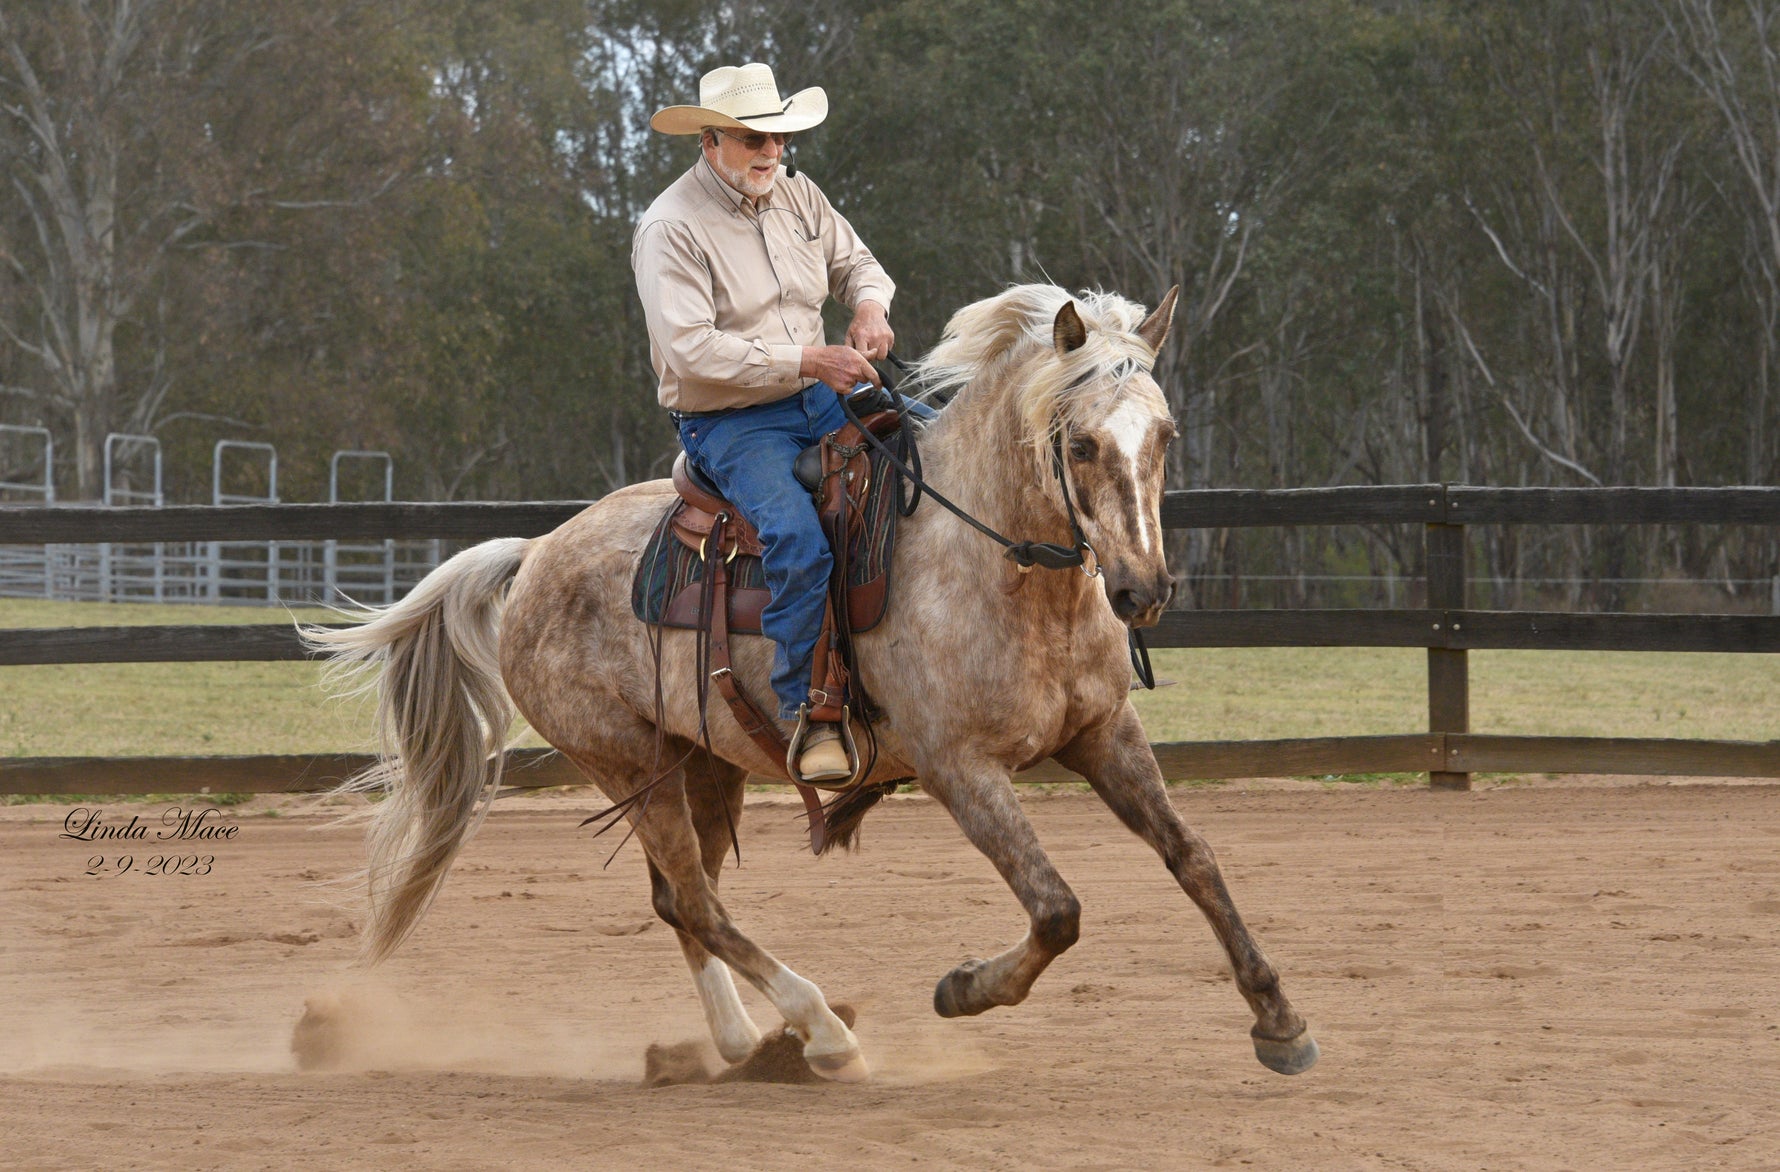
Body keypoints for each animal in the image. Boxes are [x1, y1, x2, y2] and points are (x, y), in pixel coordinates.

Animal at [307, 283, 1318, 1083]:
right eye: (1078, 447)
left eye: (1165, 435)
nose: (1143, 591)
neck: (997, 570)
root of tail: (535, 553)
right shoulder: (960, 769)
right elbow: (1057, 909)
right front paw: (961, 990)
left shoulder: (1104, 732)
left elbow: (1194, 858)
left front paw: (1279, 1020)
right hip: (625, 760)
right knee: (700, 904)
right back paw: (822, 1031)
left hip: (702, 764)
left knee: (682, 902)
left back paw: (745, 1045)